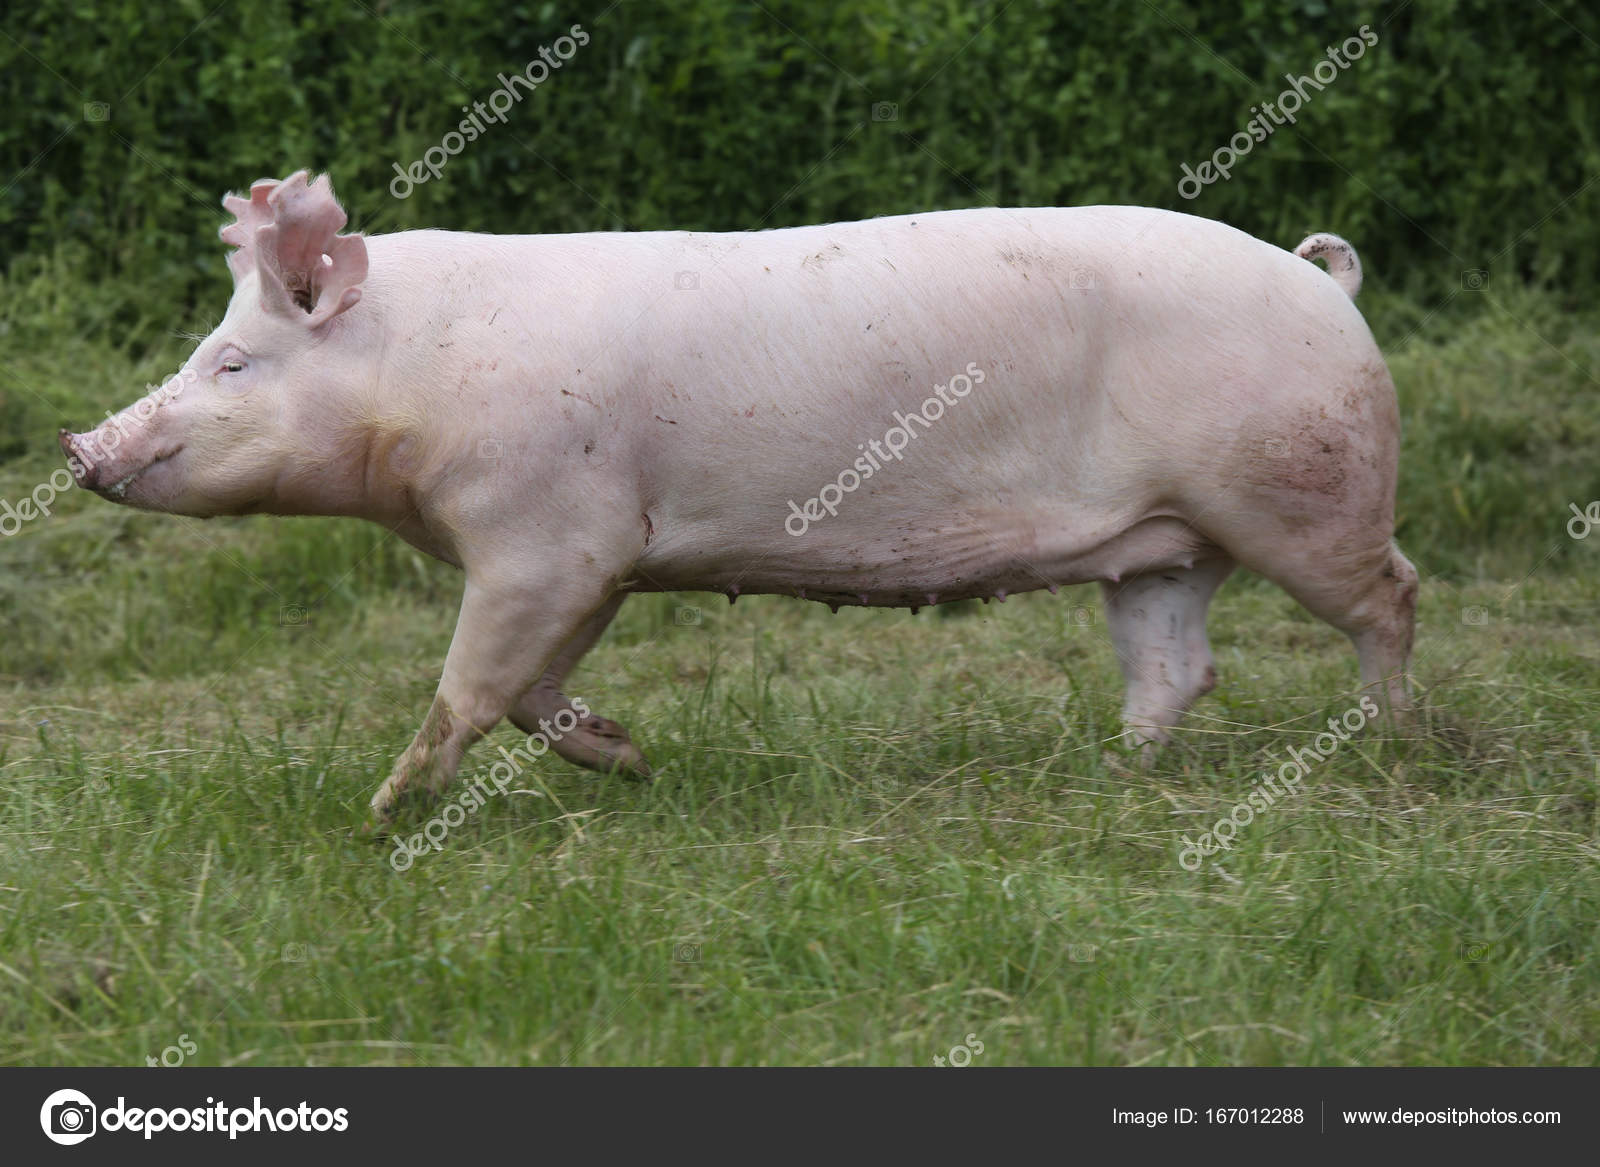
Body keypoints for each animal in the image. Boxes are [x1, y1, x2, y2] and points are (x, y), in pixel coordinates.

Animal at [59, 170, 1416, 824]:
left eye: (232, 363)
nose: (79, 444)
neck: (417, 383)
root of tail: (1324, 282)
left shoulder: (546, 539)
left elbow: (471, 690)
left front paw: (378, 817)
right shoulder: (601, 553)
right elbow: (533, 693)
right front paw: (634, 760)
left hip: (1301, 491)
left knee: (1391, 596)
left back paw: (1397, 746)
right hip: (1167, 545)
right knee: (1177, 666)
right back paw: (1103, 775)